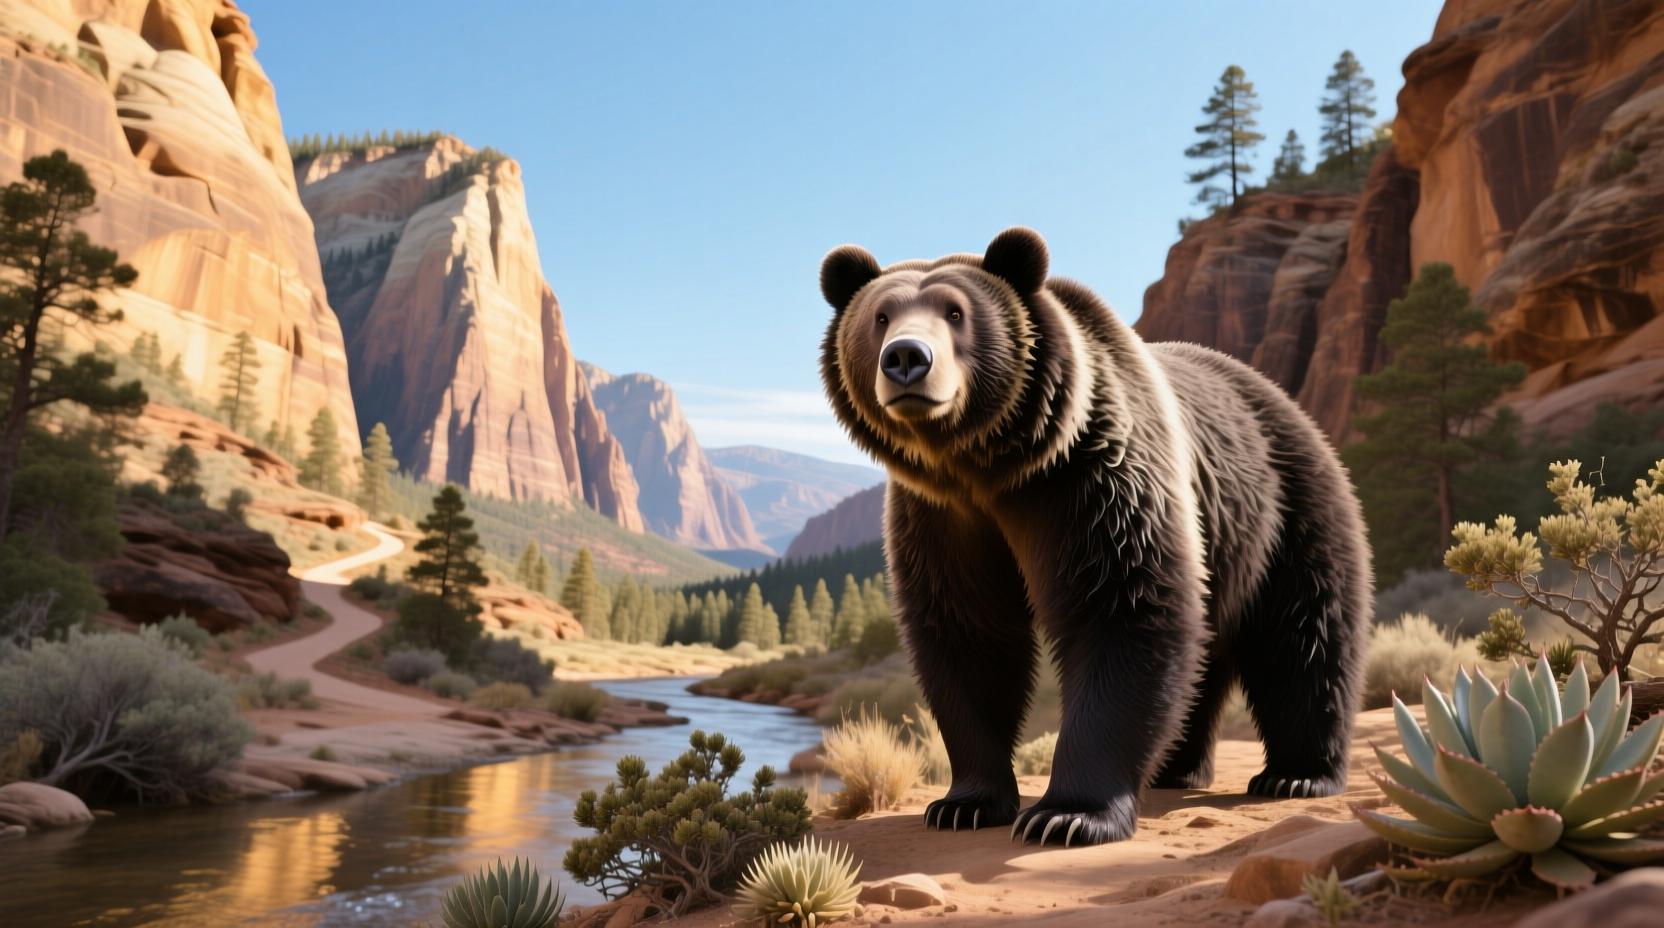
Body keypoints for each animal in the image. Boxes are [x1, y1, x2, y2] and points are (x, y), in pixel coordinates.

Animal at [817, 227, 1372, 847]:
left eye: (956, 312)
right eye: (881, 316)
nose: (907, 358)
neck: (987, 467)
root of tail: (1285, 401)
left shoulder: (1090, 480)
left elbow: (1119, 605)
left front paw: (1067, 815)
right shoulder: (941, 518)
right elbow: (968, 634)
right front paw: (965, 803)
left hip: (1285, 507)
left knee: (1305, 635)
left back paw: (1297, 774)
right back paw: (1177, 767)